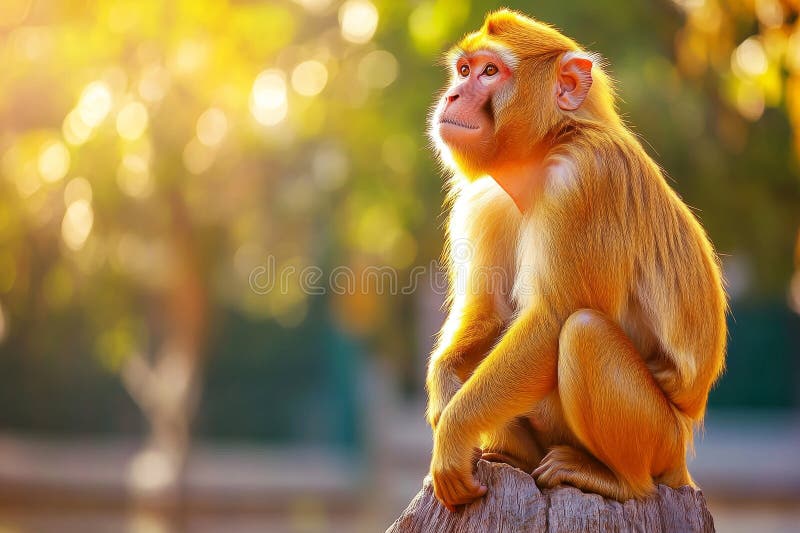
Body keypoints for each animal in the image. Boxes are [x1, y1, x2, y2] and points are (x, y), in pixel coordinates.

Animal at [425, 10, 727, 511]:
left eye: (489, 72)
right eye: (463, 71)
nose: (452, 95)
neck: (548, 147)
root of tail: (681, 457)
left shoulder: (585, 179)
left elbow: (552, 319)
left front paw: (452, 434)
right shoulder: (487, 200)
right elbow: (490, 313)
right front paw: (443, 384)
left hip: (658, 438)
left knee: (583, 331)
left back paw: (619, 481)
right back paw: (510, 457)